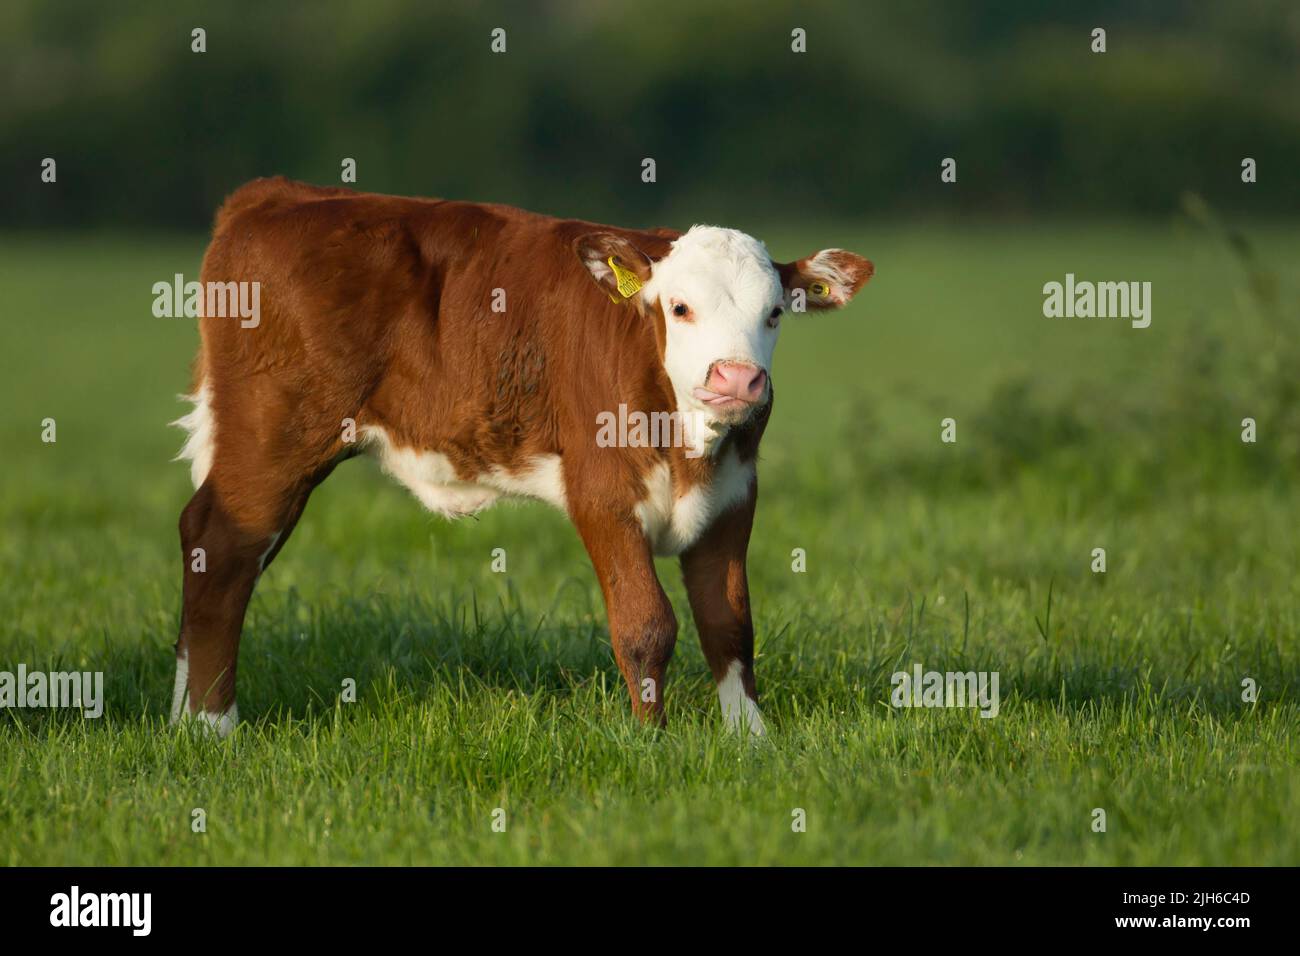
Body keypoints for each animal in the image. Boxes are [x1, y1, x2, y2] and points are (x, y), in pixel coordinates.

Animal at [170, 177, 872, 737]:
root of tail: (276, 195)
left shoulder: (733, 496)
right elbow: (646, 624)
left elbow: (729, 624)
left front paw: (752, 741)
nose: (737, 379)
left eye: (775, 313)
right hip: (271, 437)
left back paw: (183, 719)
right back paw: (214, 728)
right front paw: (654, 741)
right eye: (680, 308)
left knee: (212, 556)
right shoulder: (603, 493)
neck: (689, 445)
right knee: (223, 549)